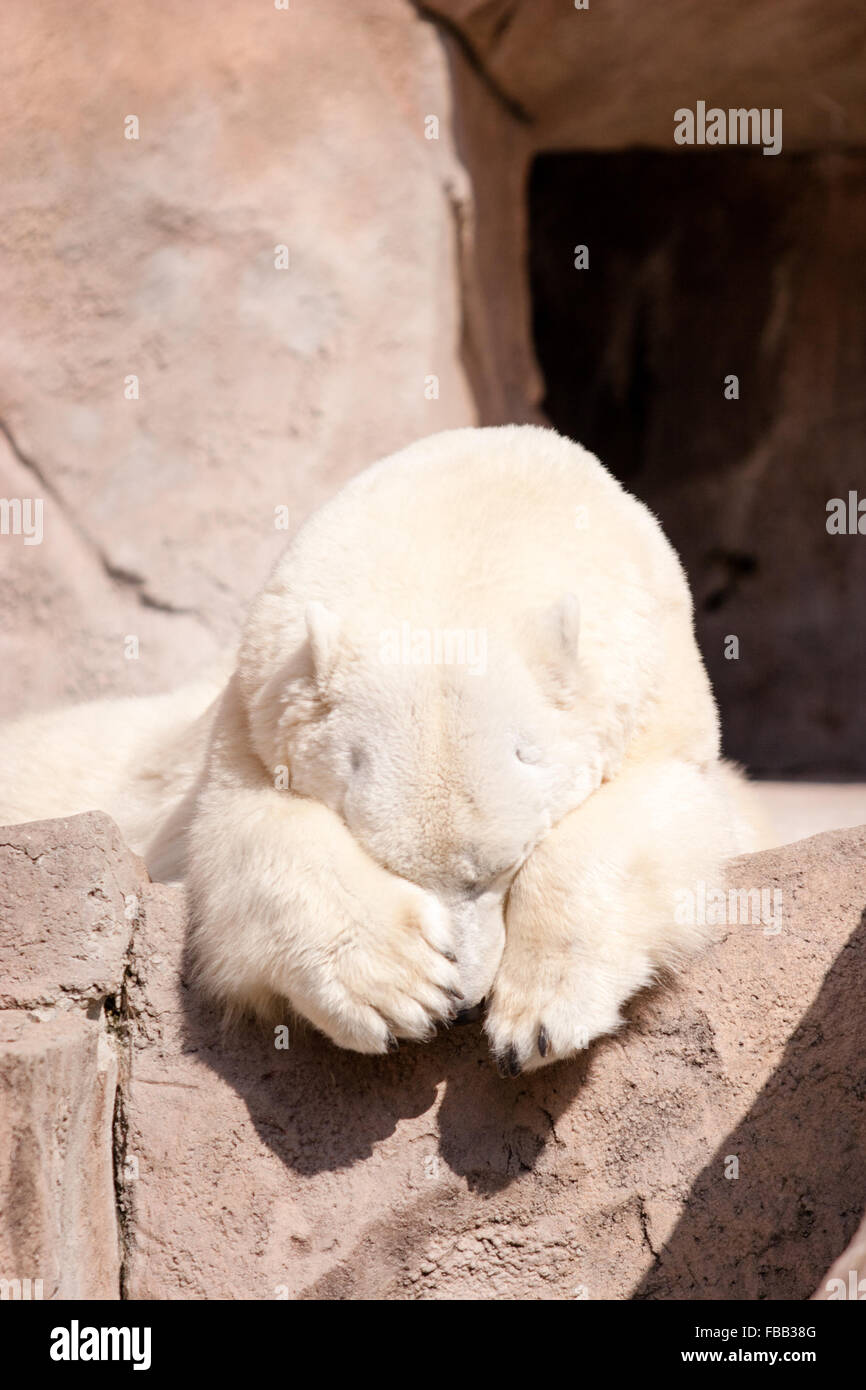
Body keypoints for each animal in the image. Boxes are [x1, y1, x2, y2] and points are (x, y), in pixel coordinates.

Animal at [0, 425, 759, 1072]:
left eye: (500, 869)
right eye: (391, 863)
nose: (462, 1007)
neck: (485, 509)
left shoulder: (657, 697)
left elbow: (663, 811)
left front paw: (538, 1018)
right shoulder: (249, 718)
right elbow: (242, 836)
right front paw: (399, 989)